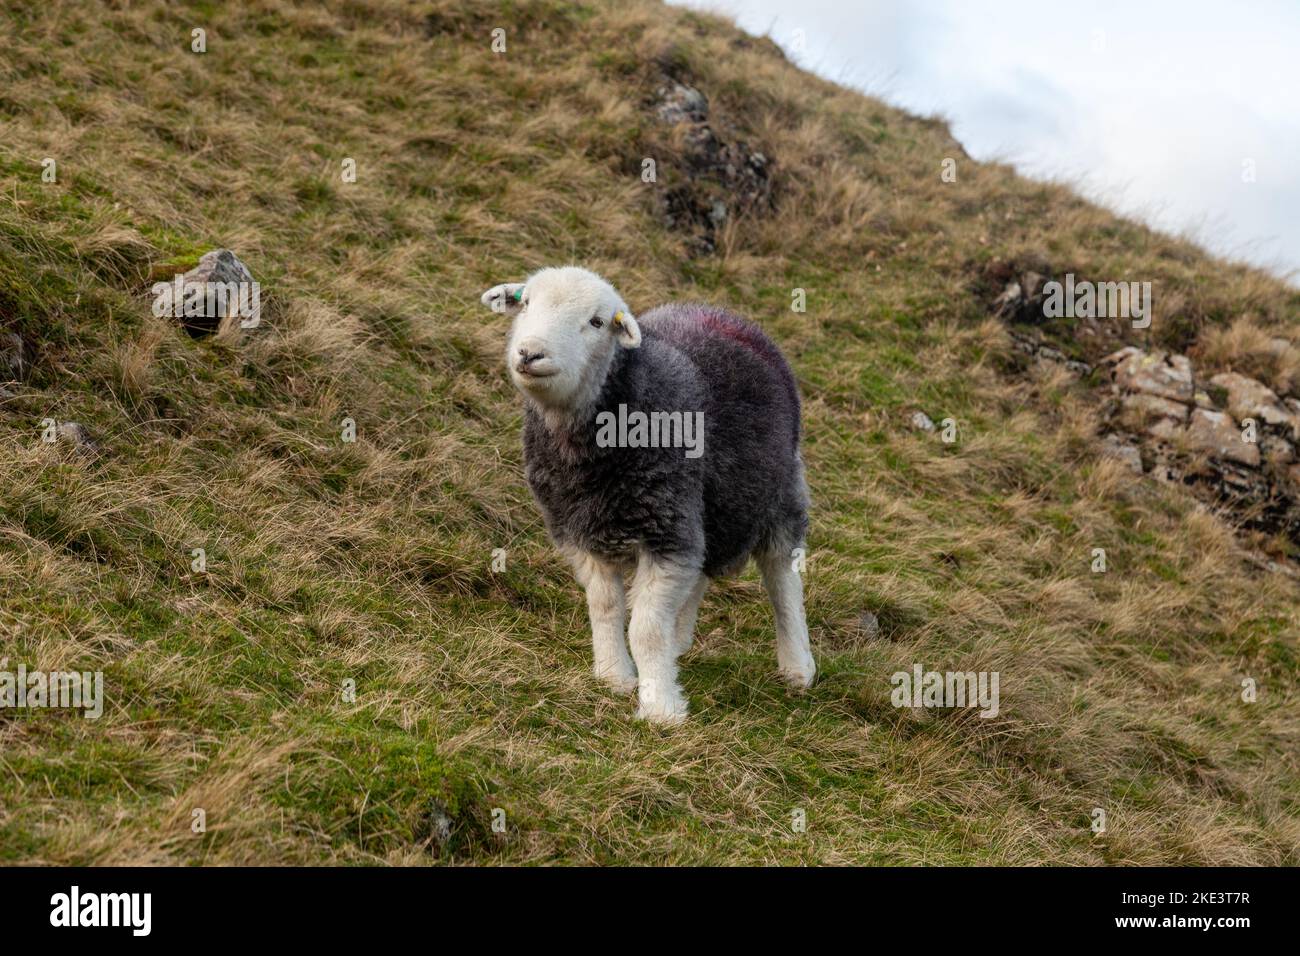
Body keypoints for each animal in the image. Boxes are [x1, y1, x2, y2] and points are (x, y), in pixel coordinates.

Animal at [480, 266, 814, 723]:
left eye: (597, 322)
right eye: (526, 303)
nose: (530, 353)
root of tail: (719, 311)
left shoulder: (665, 530)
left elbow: (646, 628)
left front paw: (660, 707)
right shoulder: (582, 532)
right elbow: (605, 608)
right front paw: (614, 675)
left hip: (778, 492)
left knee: (783, 577)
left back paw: (798, 665)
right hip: (710, 504)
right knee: (701, 571)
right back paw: (681, 642)